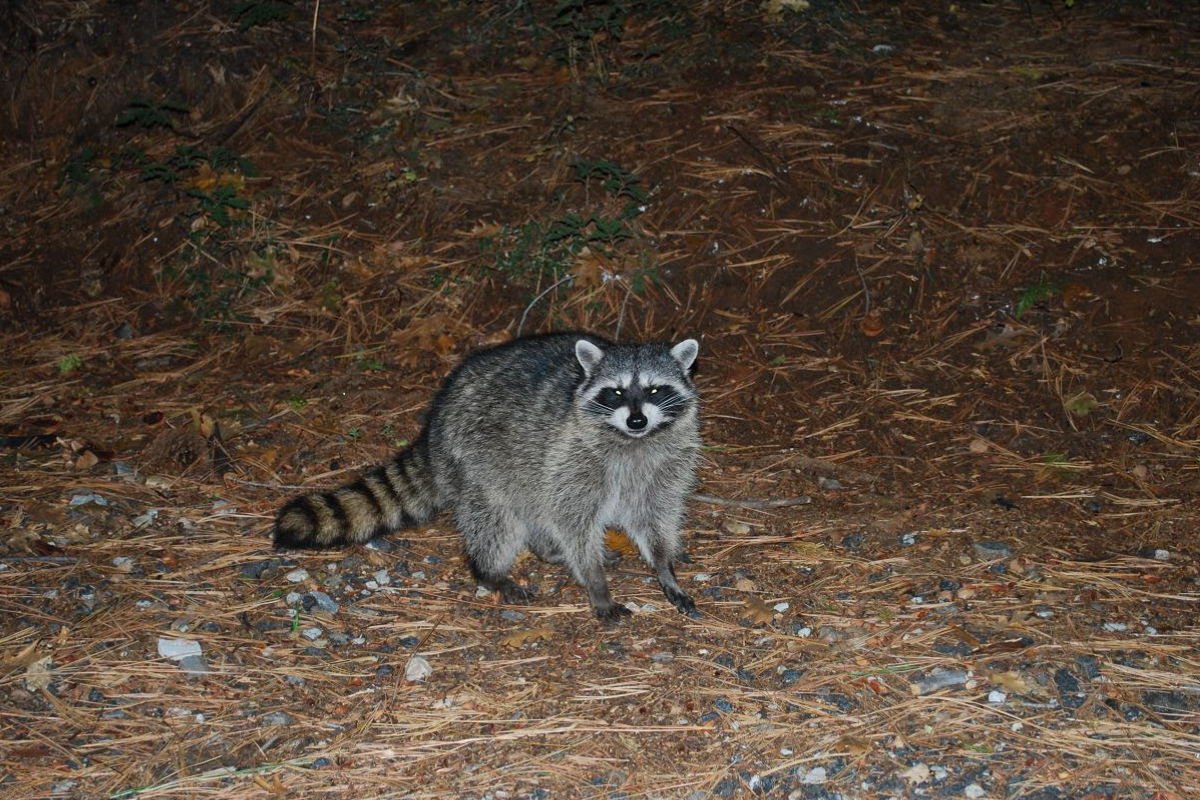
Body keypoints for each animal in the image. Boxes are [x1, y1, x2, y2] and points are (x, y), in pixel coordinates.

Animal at [274, 333, 701, 622]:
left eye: (655, 390)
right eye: (615, 392)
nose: (637, 420)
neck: (633, 441)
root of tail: (436, 419)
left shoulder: (665, 466)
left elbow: (654, 516)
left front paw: (664, 567)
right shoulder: (574, 455)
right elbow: (572, 521)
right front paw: (595, 581)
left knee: (534, 503)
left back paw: (544, 548)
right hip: (477, 455)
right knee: (496, 518)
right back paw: (491, 570)